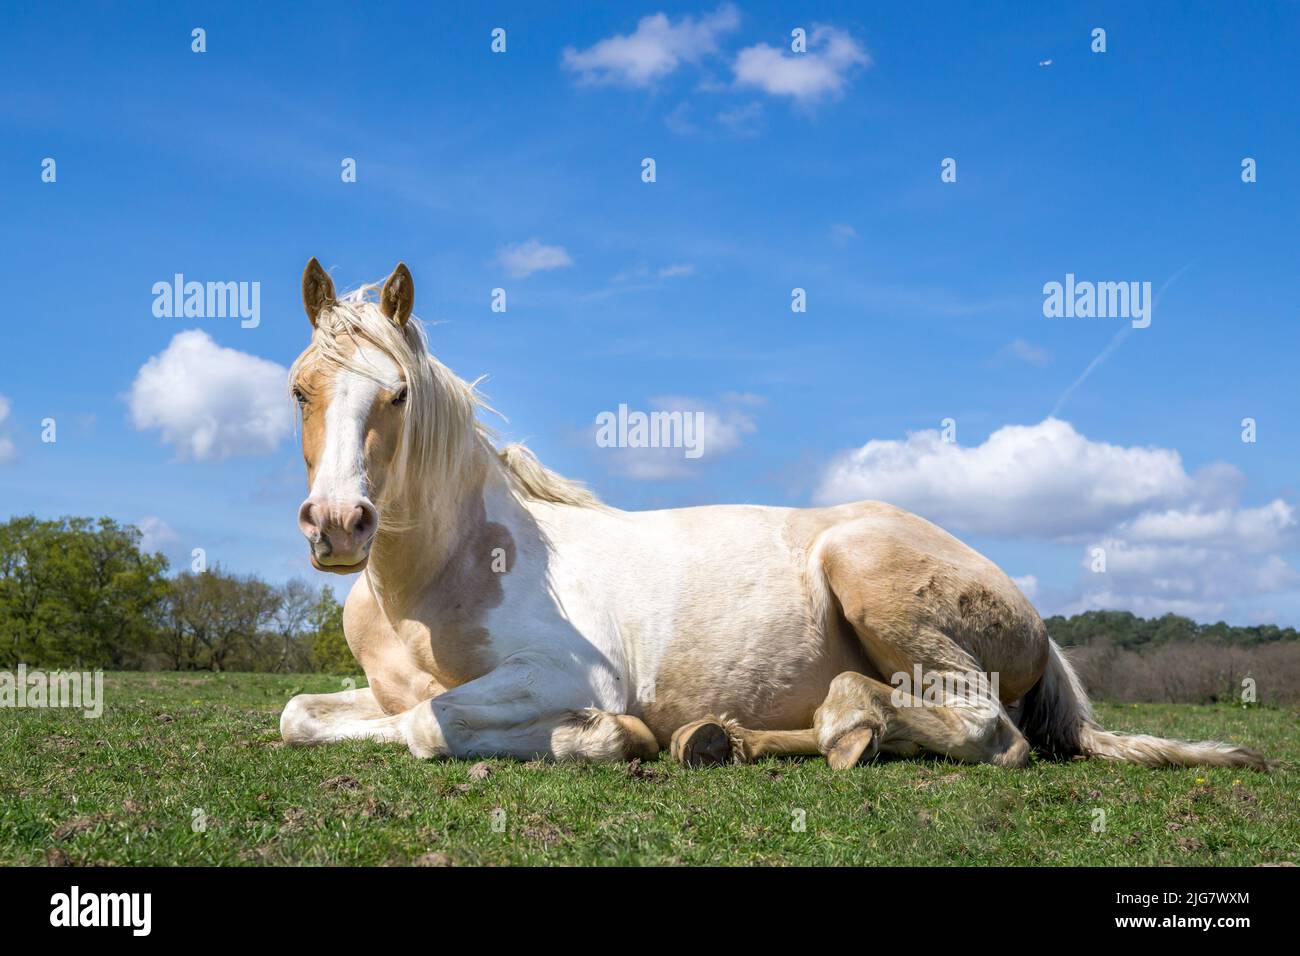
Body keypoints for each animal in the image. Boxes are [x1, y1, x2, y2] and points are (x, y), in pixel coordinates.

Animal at [279, 258, 1266, 771]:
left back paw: (840, 727)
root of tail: (1035, 617)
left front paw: (604, 736)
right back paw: (720, 739)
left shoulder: (563, 675)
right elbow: (302, 715)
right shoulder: (373, 689)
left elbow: (426, 728)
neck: (437, 584)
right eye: (299, 389)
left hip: (870, 574)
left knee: (986, 731)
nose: (337, 525)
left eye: (400, 393)